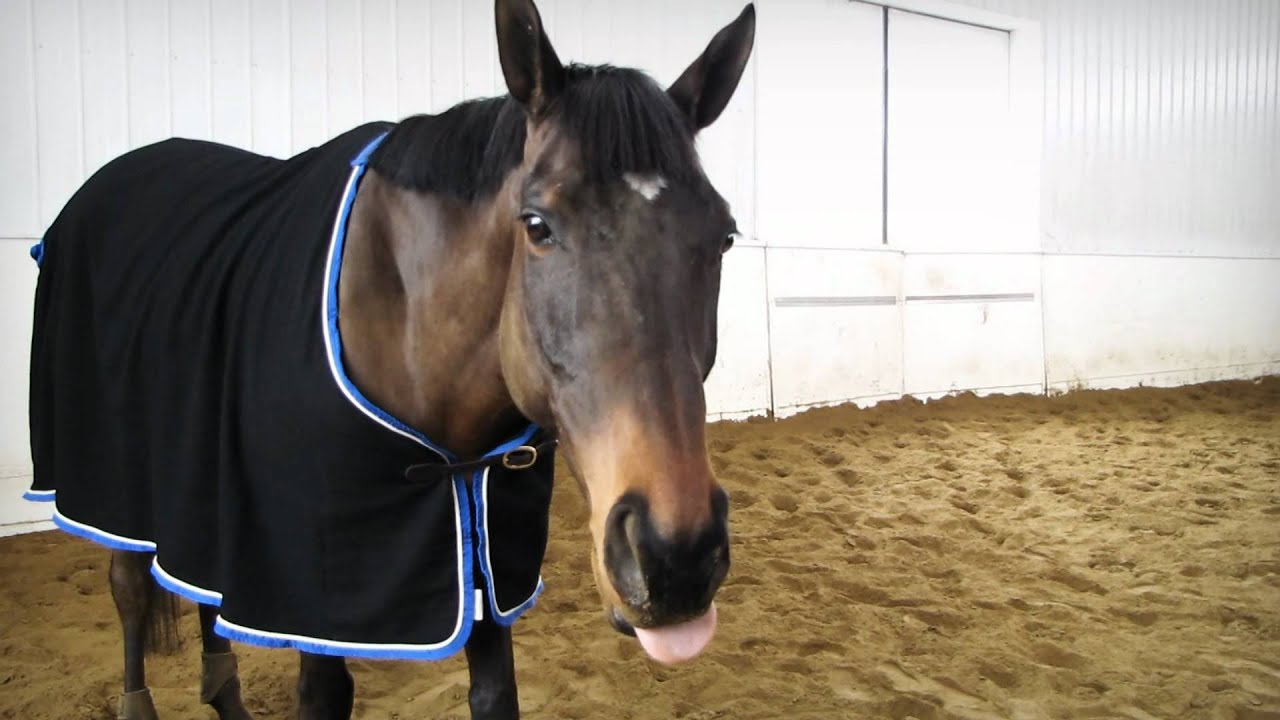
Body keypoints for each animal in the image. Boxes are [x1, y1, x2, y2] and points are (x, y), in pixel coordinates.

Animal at [22, 0, 755, 718]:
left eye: (723, 236)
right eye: (537, 225)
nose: (675, 555)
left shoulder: (481, 556)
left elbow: (495, 693)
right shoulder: (310, 596)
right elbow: (323, 694)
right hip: (114, 485)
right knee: (127, 585)